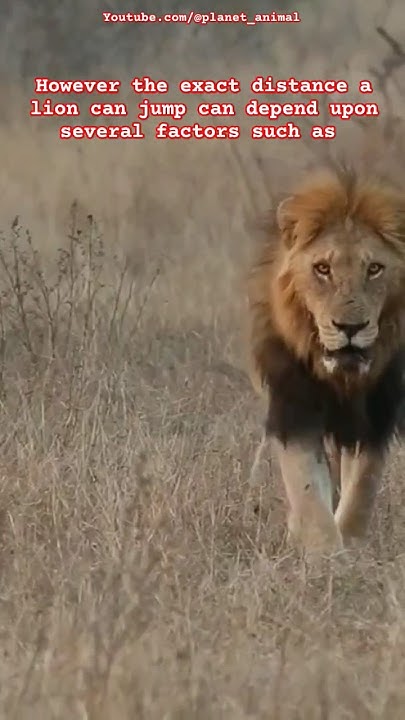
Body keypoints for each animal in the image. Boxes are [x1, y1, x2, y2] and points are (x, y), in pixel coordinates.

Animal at [247, 164, 405, 557]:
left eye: (374, 269)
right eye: (322, 268)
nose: (350, 327)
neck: (342, 379)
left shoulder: (376, 413)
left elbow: (363, 486)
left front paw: (351, 543)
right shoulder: (294, 408)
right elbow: (306, 488)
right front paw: (325, 553)